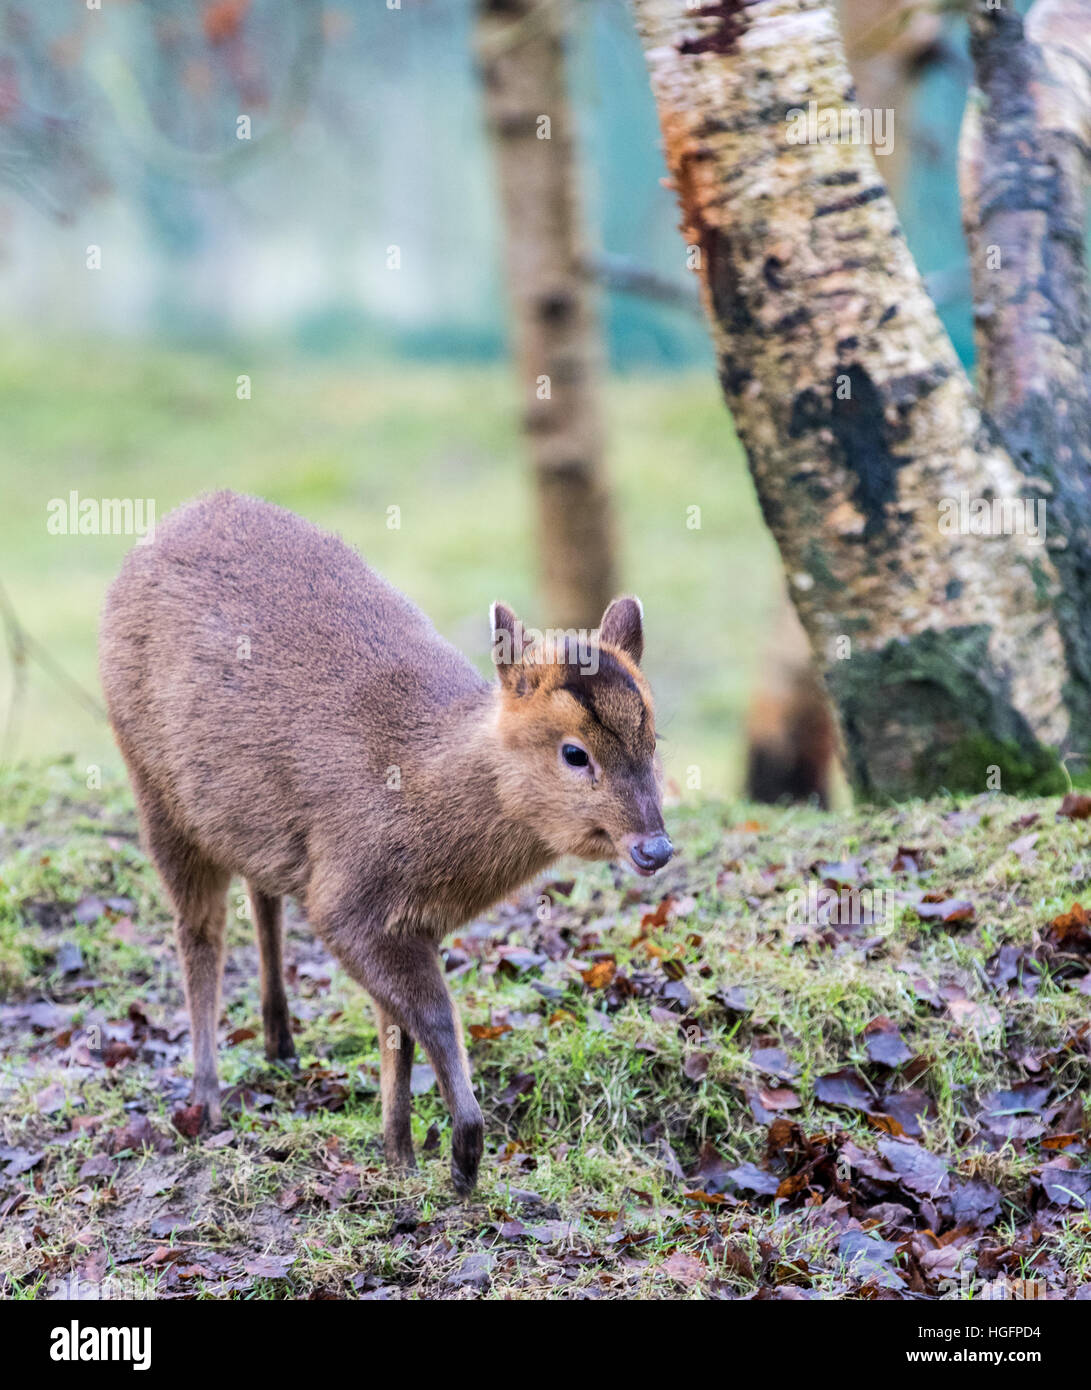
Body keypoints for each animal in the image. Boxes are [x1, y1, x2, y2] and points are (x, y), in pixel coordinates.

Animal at [98, 491, 673, 1194]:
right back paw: (206, 1098)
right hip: (152, 786)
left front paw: (401, 1153)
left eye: (653, 737)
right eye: (574, 752)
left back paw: (280, 1044)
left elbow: (394, 1028)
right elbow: (432, 1017)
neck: (420, 797)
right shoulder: (349, 903)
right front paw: (460, 1156)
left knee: (262, 895)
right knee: (198, 931)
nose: (654, 848)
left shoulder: (403, 921)